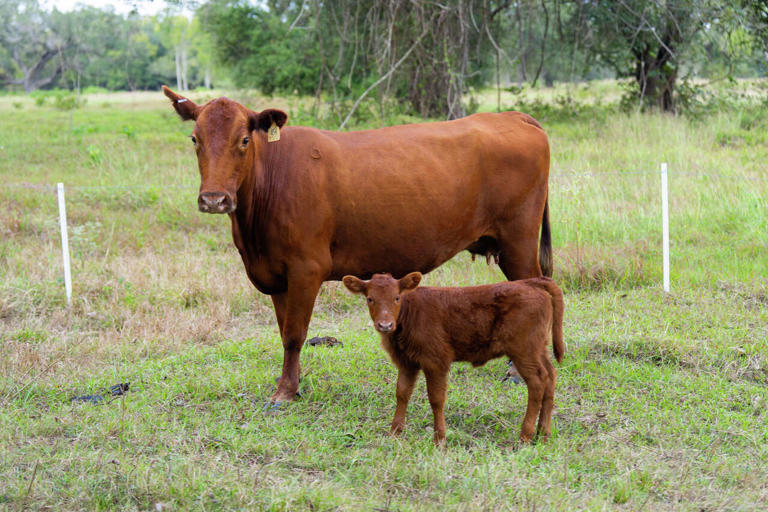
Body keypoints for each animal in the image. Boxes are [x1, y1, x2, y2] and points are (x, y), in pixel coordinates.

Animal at [161, 86, 551, 405]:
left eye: (244, 139)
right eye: (194, 138)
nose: (214, 199)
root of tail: (509, 115)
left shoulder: (306, 267)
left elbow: (294, 334)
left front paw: (284, 392)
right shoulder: (275, 274)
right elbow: (283, 331)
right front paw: (291, 384)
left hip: (518, 240)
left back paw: (516, 371)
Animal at [342, 273, 564, 445]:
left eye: (397, 297)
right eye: (370, 299)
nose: (385, 325)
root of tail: (529, 282)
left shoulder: (436, 361)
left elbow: (436, 399)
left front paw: (439, 439)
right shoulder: (406, 363)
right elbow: (402, 393)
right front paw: (394, 433)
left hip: (523, 350)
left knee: (537, 382)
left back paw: (525, 436)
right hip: (538, 348)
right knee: (550, 376)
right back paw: (543, 434)